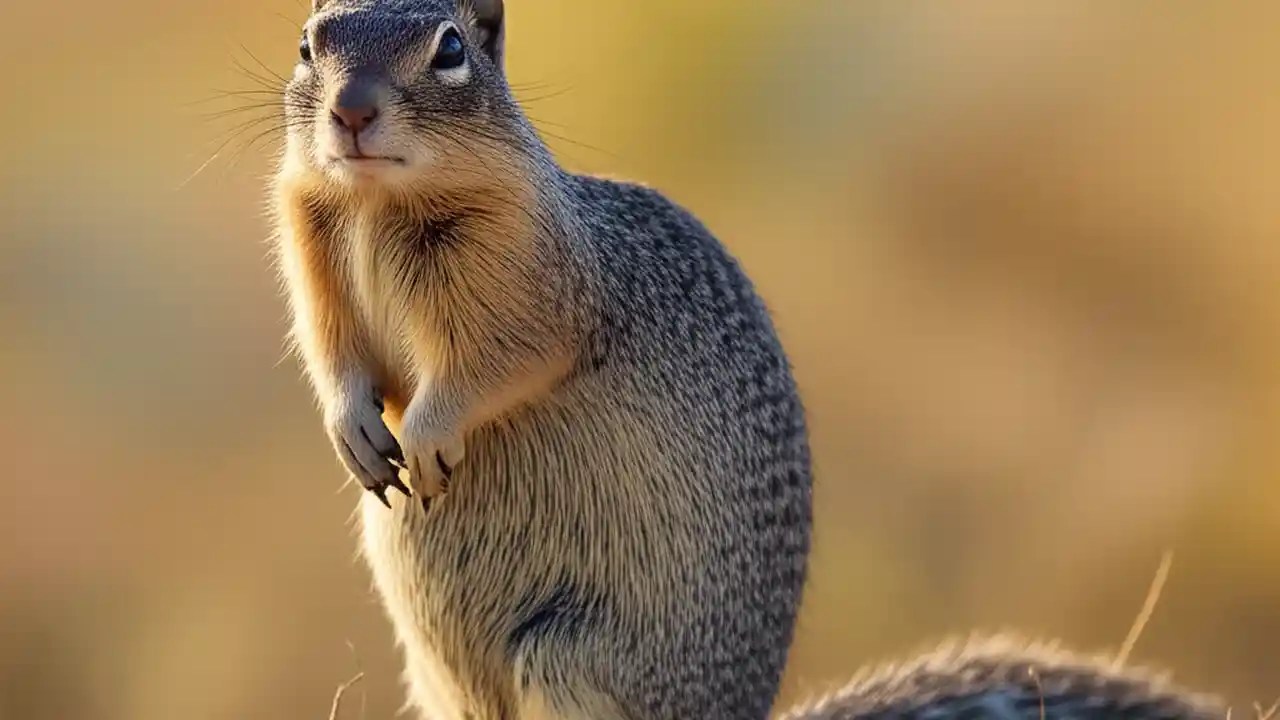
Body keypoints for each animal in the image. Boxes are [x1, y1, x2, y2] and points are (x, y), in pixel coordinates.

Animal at [268, 1, 1226, 718]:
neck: (377, 205)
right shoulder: (315, 264)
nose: (351, 111)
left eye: (452, 49)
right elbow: (337, 356)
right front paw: (354, 430)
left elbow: (499, 359)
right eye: (308, 40)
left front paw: (428, 436)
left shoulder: (534, 284)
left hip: (566, 661)